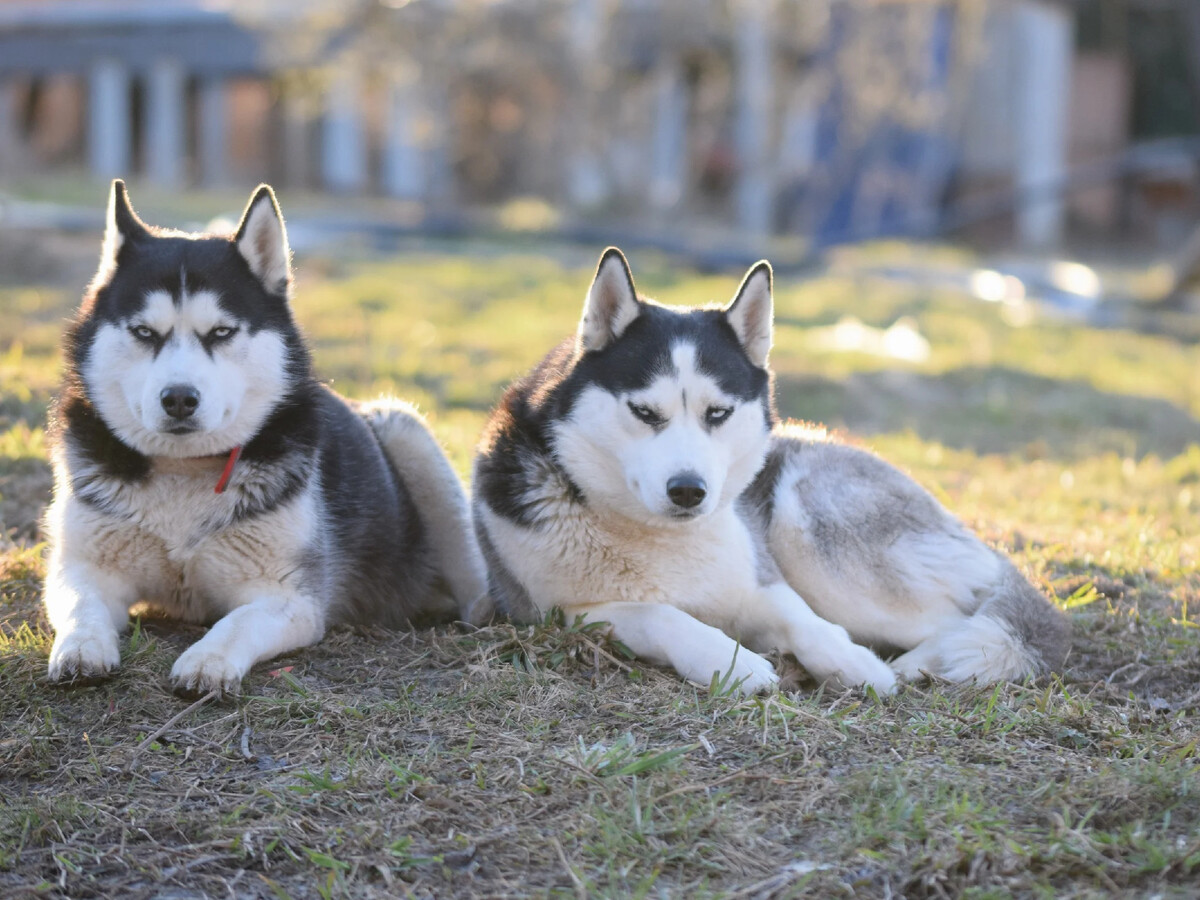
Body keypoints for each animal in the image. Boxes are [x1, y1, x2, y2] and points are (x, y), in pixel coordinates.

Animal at [45, 180, 487, 696]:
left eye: (221, 332)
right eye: (143, 332)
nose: (179, 398)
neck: (182, 472)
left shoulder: (288, 595)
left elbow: (236, 622)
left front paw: (207, 660)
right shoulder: (84, 568)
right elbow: (82, 606)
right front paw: (81, 648)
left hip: (403, 429)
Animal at [468, 250, 1070, 696]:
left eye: (718, 413)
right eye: (644, 412)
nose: (688, 492)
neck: (660, 539)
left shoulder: (763, 581)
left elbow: (803, 618)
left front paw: (852, 663)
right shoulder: (561, 612)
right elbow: (659, 613)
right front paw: (732, 662)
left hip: (811, 535)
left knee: (970, 623)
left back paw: (918, 662)